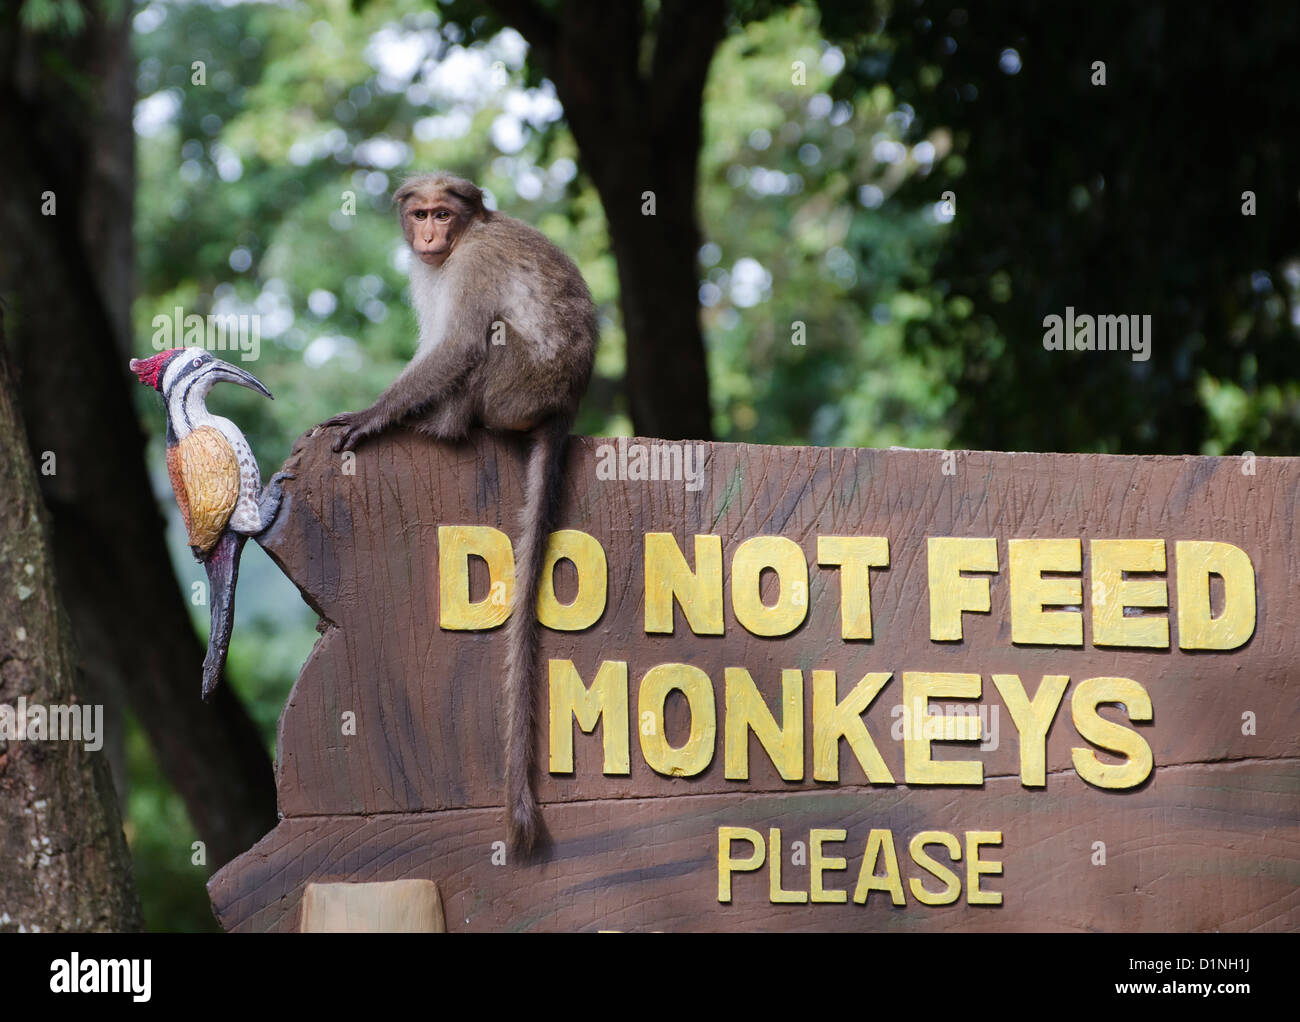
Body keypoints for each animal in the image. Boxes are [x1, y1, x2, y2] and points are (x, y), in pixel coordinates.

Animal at [321, 172, 596, 856]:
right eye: (420, 213)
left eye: (443, 213)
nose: (428, 236)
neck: (468, 234)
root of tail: (567, 403)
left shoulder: (473, 265)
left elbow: (456, 345)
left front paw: (373, 415)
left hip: (516, 388)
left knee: (486, 339)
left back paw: (440, 428)